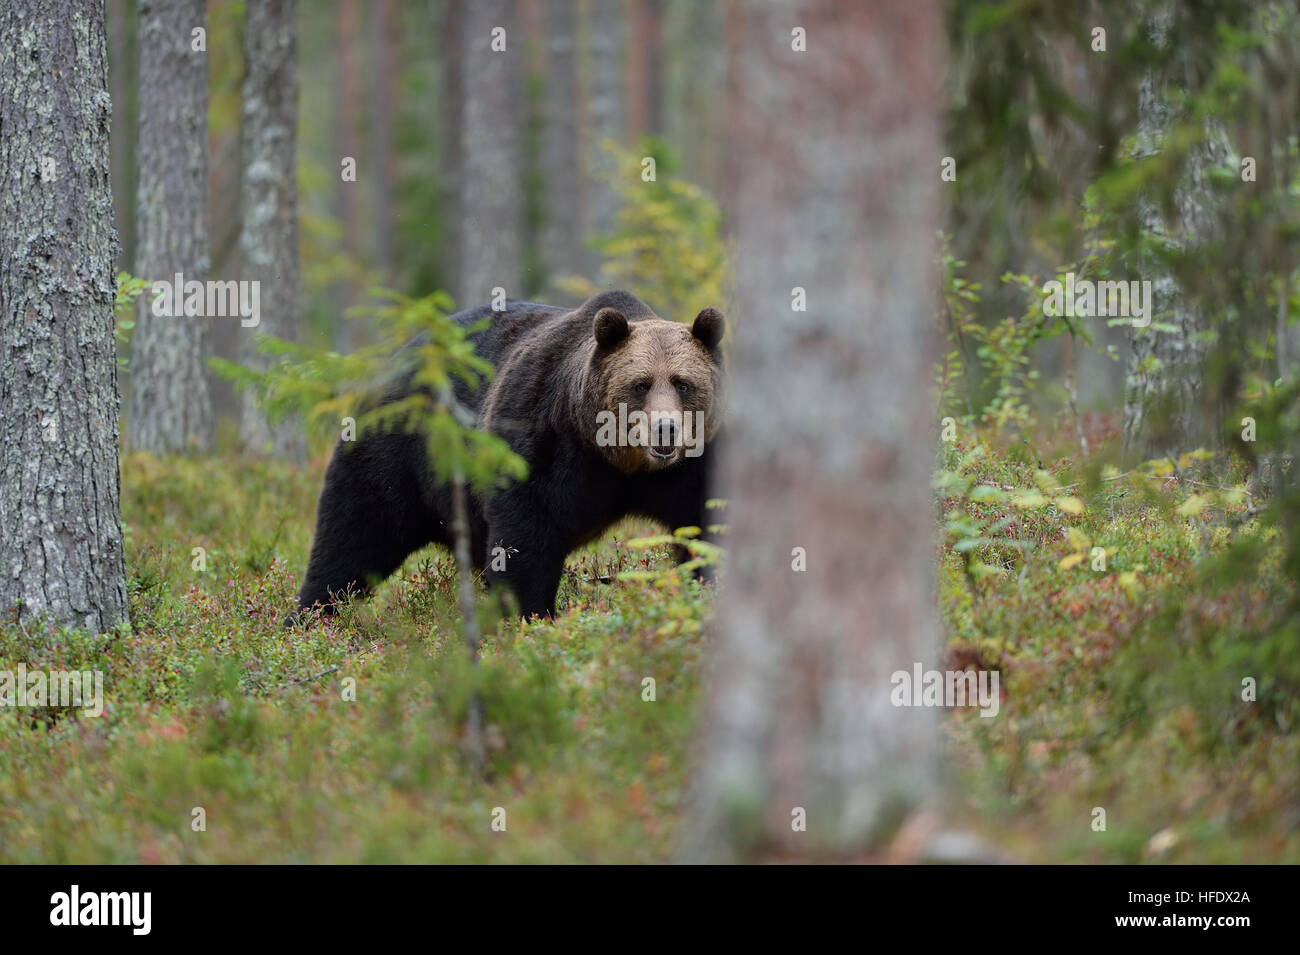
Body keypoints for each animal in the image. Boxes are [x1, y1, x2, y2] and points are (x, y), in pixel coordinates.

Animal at [289, 289, 725, 623]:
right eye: (641, 384)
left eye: (683, 383)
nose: (665, 429)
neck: (622, 463)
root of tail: (398, 358)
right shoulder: (545, 437)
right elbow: (526, 534)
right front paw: (529, 616)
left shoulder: (695, 465)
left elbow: (707, 527)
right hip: (400, 447)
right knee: (355, 531)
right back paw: (312, 616)